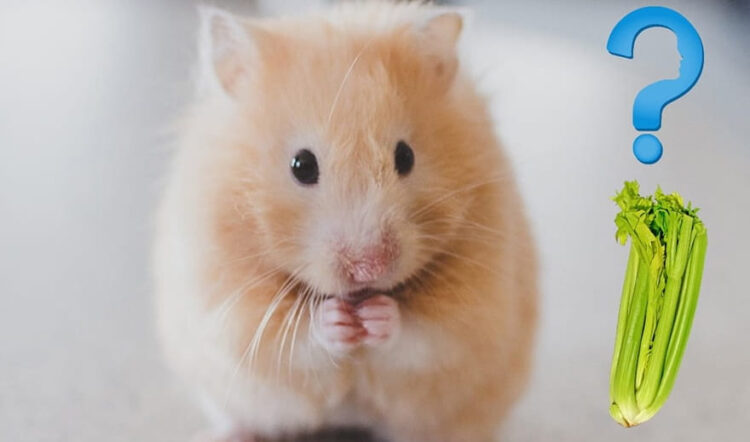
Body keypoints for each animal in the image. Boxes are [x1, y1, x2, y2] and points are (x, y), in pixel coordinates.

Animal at [154, 2, 538, 441]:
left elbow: (423, 335)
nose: (369, 268)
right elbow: (291, 339)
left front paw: (378, 316)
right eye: (301, 165)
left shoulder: (475, 308)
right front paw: (337, 321)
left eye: (405, 156)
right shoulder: (228, 305)